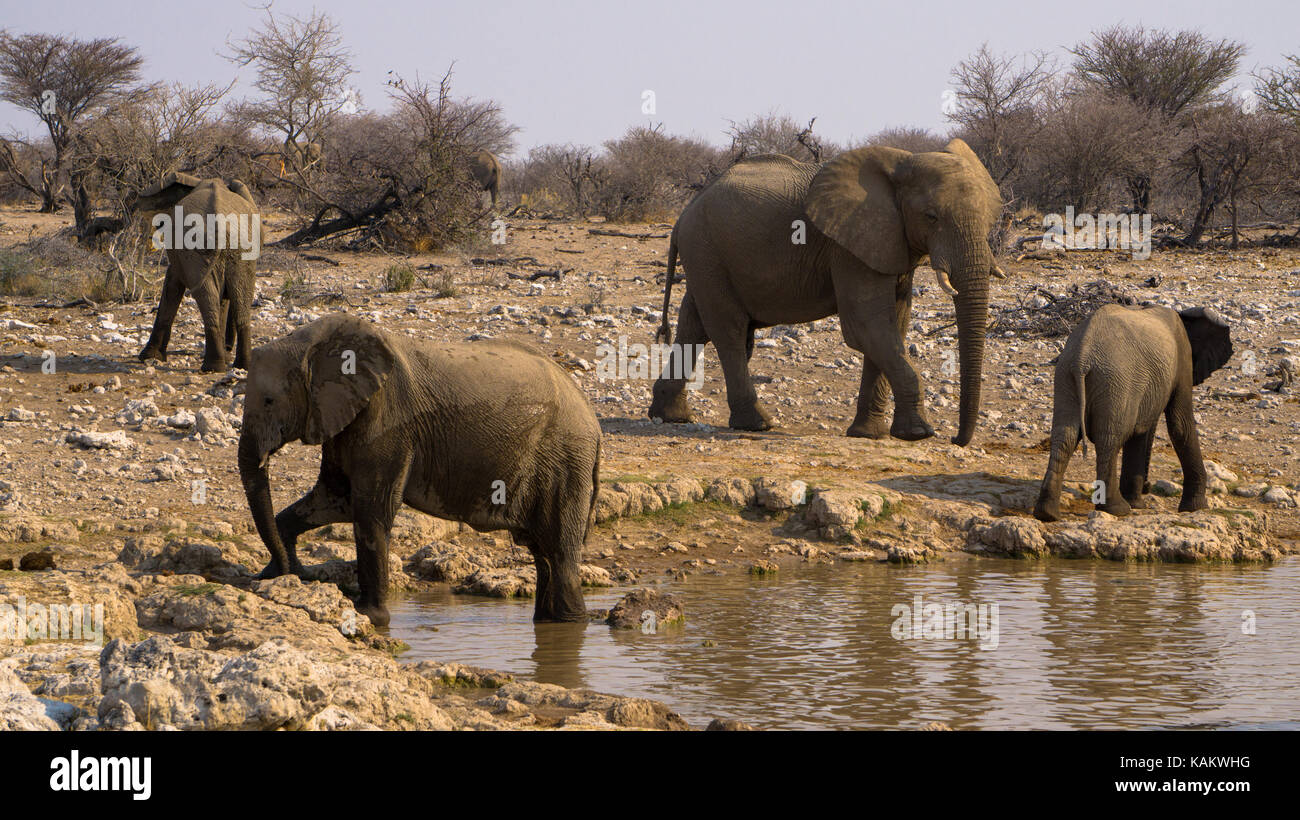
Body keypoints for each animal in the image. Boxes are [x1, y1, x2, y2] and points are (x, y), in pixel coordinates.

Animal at [134, 172, 260, 372]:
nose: (228, 347)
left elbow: (172, 285)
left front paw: (148, 357)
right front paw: (150, 357)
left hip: (222, 248)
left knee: (221, 295)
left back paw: (216, 366)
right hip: (224, 249)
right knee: (235, 294)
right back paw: (233, 366)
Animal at [238, 314, 602, 626]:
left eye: (269, 401)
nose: (288, 571)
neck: (313, 343)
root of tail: (594, 421)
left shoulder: (388, 423)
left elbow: (371, 513)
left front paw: (370, 617)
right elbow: (332, 500)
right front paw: (272, 576)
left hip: (565, 462)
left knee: (560, 553)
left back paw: (569, 624)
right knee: (544, 555)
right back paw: (547, 622)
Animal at [648, 139, 1005, 446]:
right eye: (931, 217)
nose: (956, 439)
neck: (902, 162)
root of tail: (683, 214)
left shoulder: (889, 240)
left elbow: (894, 325)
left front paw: (868, 434)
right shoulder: (847, 245)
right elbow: (867, 325)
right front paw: (918, 434)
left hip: (707, 257)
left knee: (694, 325)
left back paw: (670, 416)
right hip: (706, 250)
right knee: (729, 331)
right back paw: (756, 424)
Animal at [1032, 304, 1232, 522]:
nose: (1148, 486)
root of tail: (1082, 358)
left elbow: (1141, 431)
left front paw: (1137, 504)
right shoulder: (1182, 359)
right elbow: (1180, 424)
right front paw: (1196, 508)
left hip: (1065, 378)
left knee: (1065, 437)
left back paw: (1047, 513)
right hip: (1115, 382)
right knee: (1110, 439)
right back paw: (1117, 509)